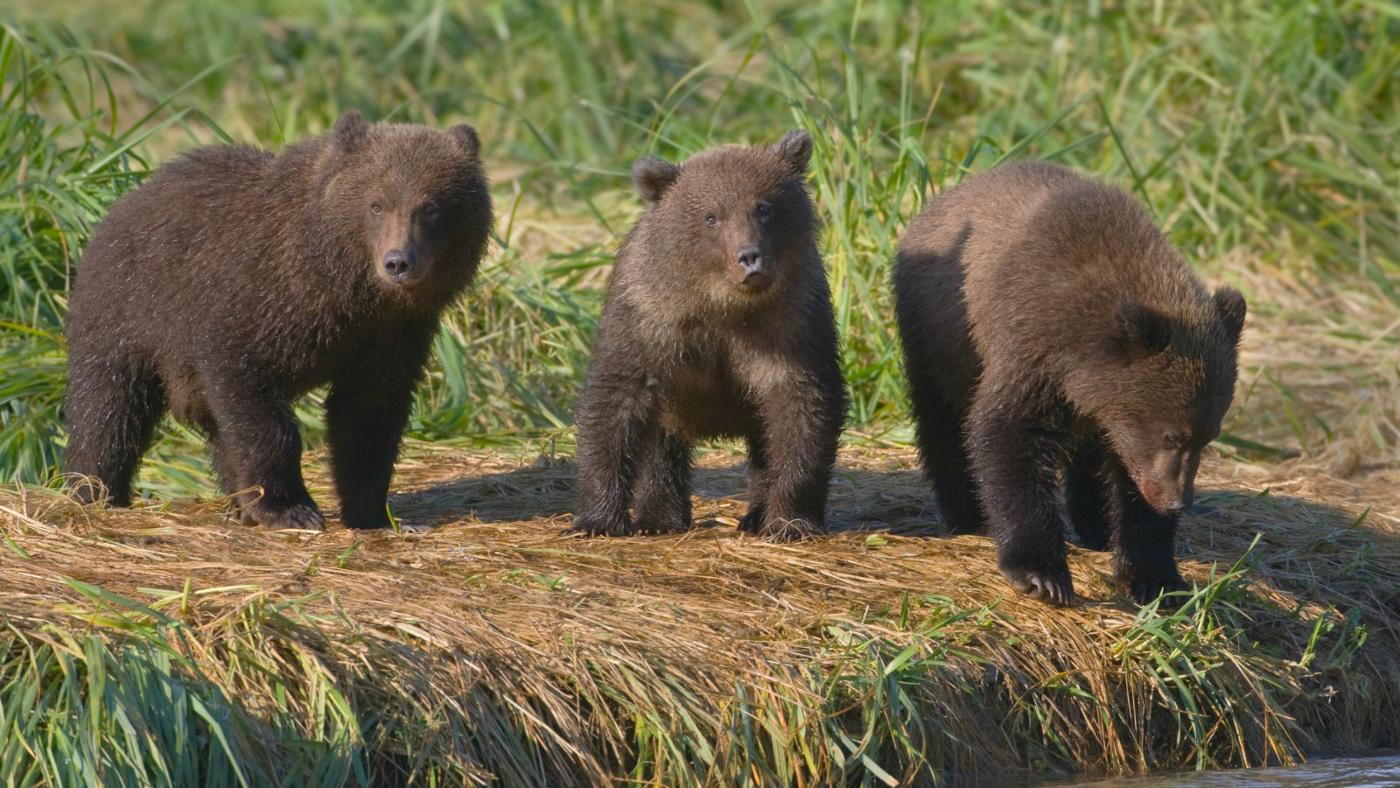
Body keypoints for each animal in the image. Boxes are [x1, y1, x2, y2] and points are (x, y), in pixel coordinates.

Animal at [64, 110, 492, 530]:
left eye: (430, 207)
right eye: (376, 204)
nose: (399, 262)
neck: (345, 291)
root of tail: (123, 202)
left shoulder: (393, 334)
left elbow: (369, 415)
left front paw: (375, 514)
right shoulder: (256, 304)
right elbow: (256, 400)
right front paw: (290, 508)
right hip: (127, 313)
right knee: (108, 408)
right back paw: (94, 492)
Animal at [572, 130, 847, 540]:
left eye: (763, 207)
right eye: (711, 216)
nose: (750, 257)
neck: (721, 305)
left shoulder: (792, 323)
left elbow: (801, 408)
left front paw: (790, 521)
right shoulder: (648, 320)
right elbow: (615, 399)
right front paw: (597, 520)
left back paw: (753, 516)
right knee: (659, 448)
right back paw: (660, 518)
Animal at [893, 160, 1246, 606]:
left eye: (1208, 437)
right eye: (1171, 435)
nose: (1176, 502)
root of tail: (933, 206)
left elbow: (1128, 485)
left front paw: (1154, 577)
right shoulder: (1032, 351)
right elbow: (1007, 438)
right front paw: (1041, 574)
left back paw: (1095, 526)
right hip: (938, 339)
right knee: (942, 421)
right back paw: (967, 514)